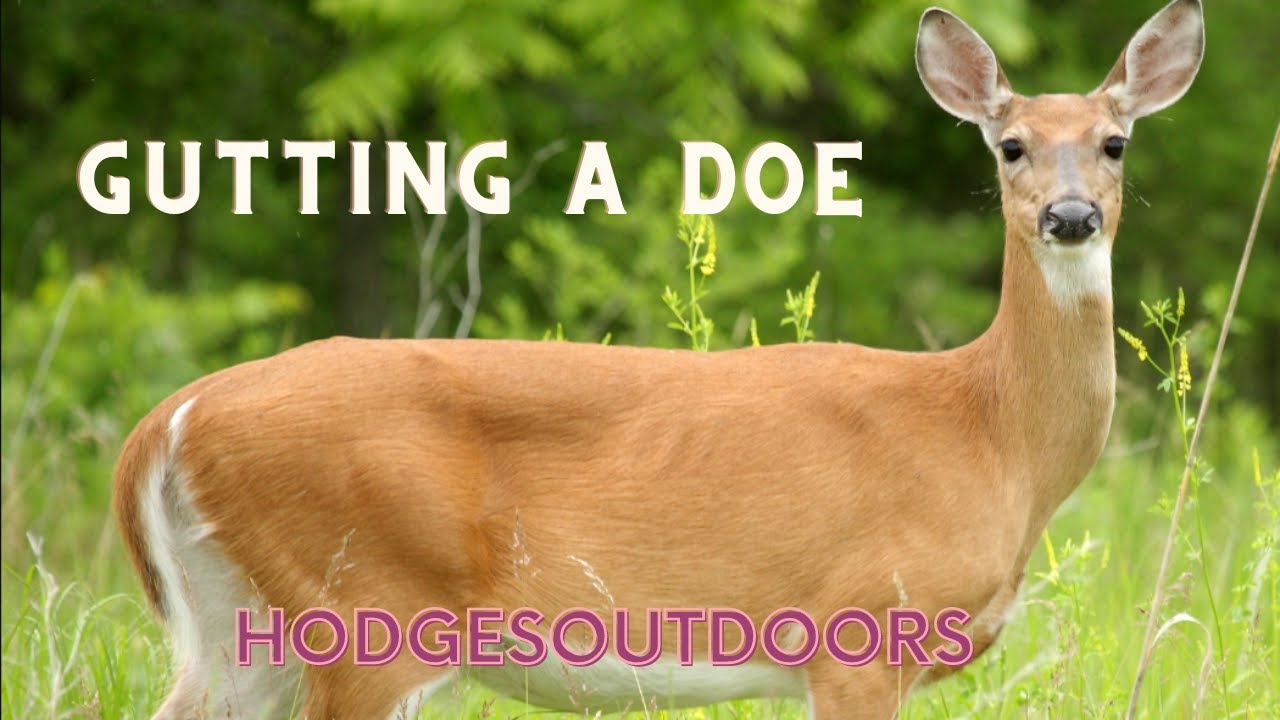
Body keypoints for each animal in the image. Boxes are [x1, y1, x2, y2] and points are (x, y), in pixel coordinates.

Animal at [113, 1, 1204, 718]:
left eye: (1113, 142)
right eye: (1010, 146)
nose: (1070, 216)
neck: (988, 431)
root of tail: (168, 420)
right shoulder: (860, 625)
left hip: (240, 620)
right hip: (364, 604)